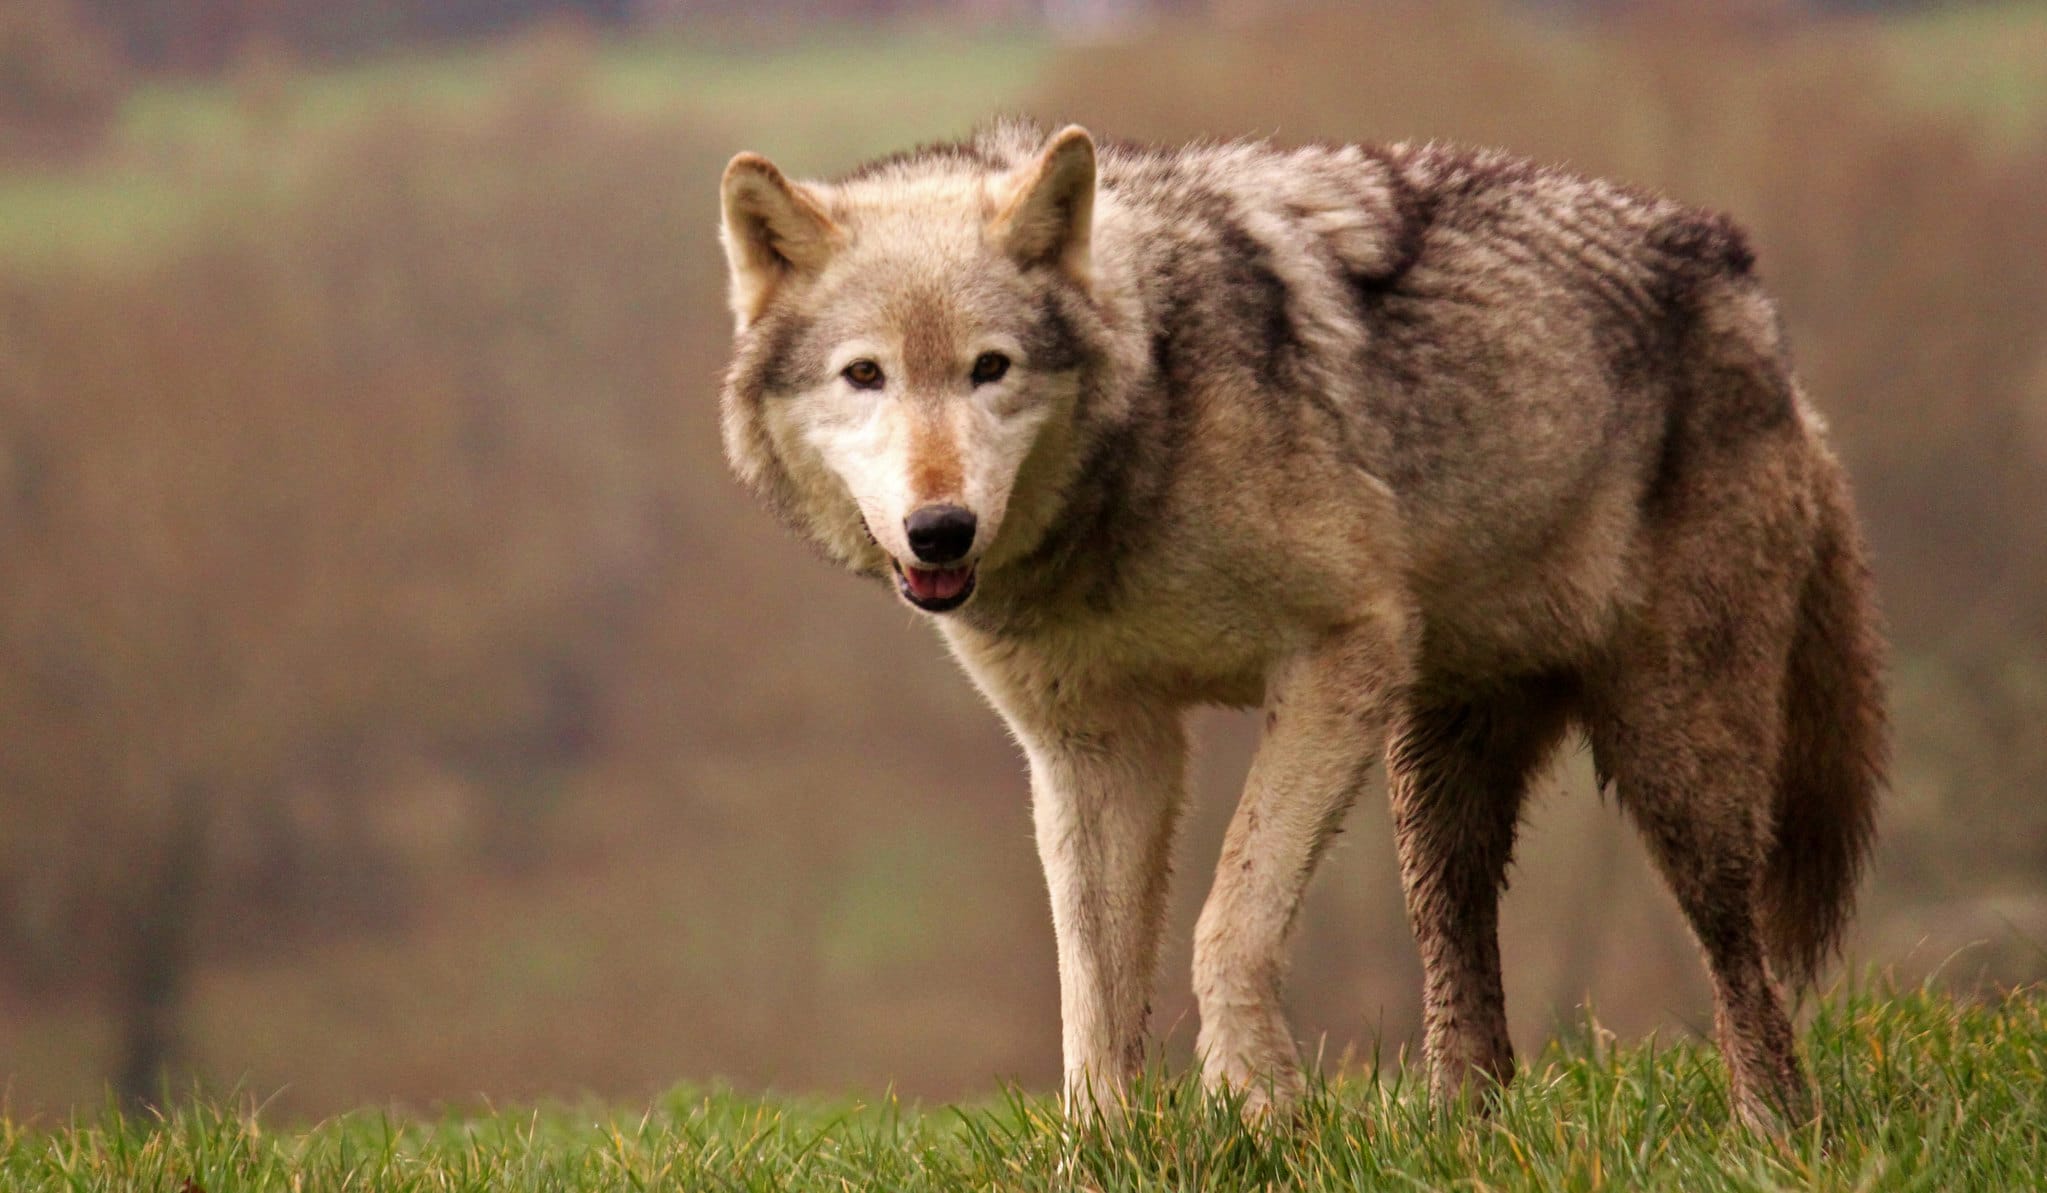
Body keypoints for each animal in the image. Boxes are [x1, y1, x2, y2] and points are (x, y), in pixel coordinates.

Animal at [715, 119, 1885, 1131]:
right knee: (1464, 961)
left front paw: (1261, 1111)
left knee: (1741, 960)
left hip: (1671, 764)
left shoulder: (1338, 656)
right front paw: (1100, 1150)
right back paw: (1462, 1131)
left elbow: (1226, 923)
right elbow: (1092, 987)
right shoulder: (1096, 744)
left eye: (988, 367)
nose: (941, 529)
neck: (1152, 417)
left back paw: (1773, 1133)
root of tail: (1752, 299)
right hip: (1435, 793)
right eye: (865, 375)